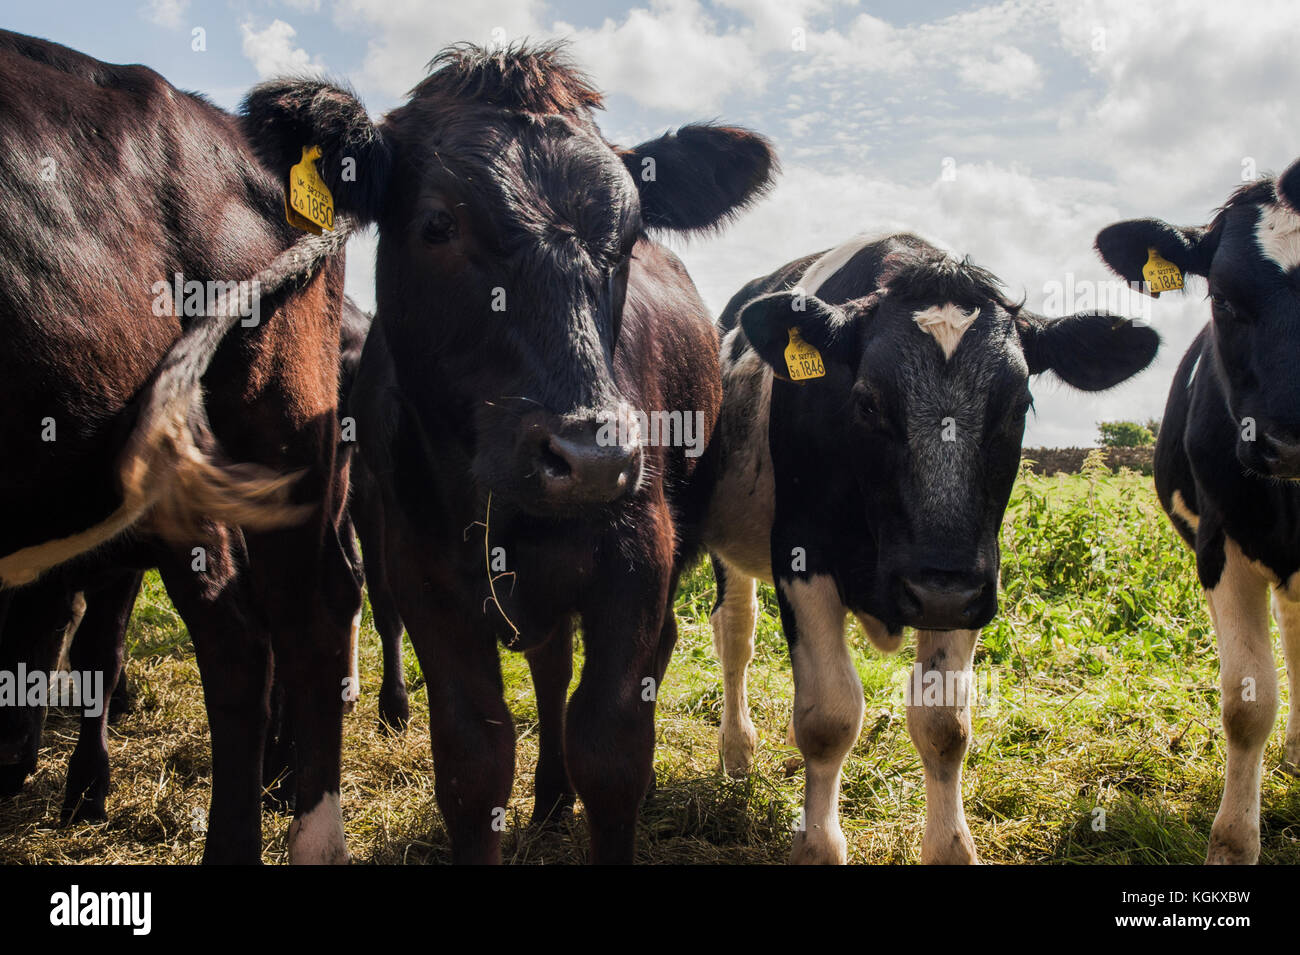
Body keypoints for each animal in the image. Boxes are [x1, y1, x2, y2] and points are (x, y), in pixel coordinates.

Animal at [241, 42, 777, 863]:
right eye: (437, 223)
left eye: (627, 239)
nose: (591, 458)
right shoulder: (424, 572)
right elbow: (473, 762)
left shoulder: (637, 556)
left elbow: (612, 749)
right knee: (550, 671)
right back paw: (551, 798)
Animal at [703, 231, 1160, 863]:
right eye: (867, 402)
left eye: (1017, 406)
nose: (934, 588)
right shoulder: (802, 553)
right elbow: (829, 716)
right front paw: (818, 846)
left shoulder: (969, 581)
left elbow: (944, 725)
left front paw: (950, 847)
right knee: (735, 634)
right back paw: (737, 750)